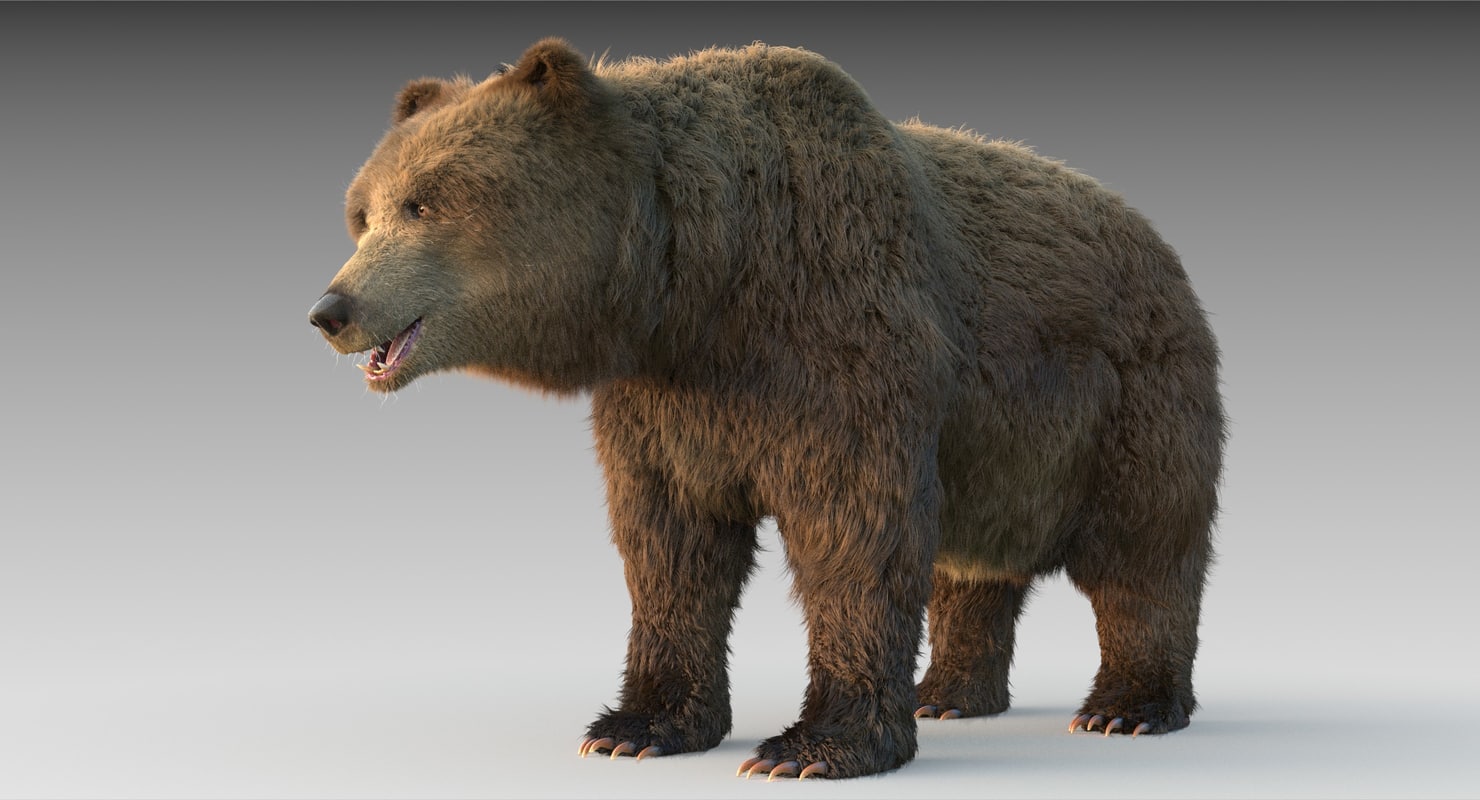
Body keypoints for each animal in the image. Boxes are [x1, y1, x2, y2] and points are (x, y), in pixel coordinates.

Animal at [308, 39, 1225, 780]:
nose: (331, 309)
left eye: (427, 200)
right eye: (363, 210)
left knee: (1147, 550)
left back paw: (1126, 706)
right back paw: (949, 692)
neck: (704, 285)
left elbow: (854, 536)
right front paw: (634, 727)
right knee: (975, 567)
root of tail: (1161, 243)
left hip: (1129, 396)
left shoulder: (840, 347)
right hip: (1003, 452)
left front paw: (812, 746)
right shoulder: (668, 405)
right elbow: (670, 544)